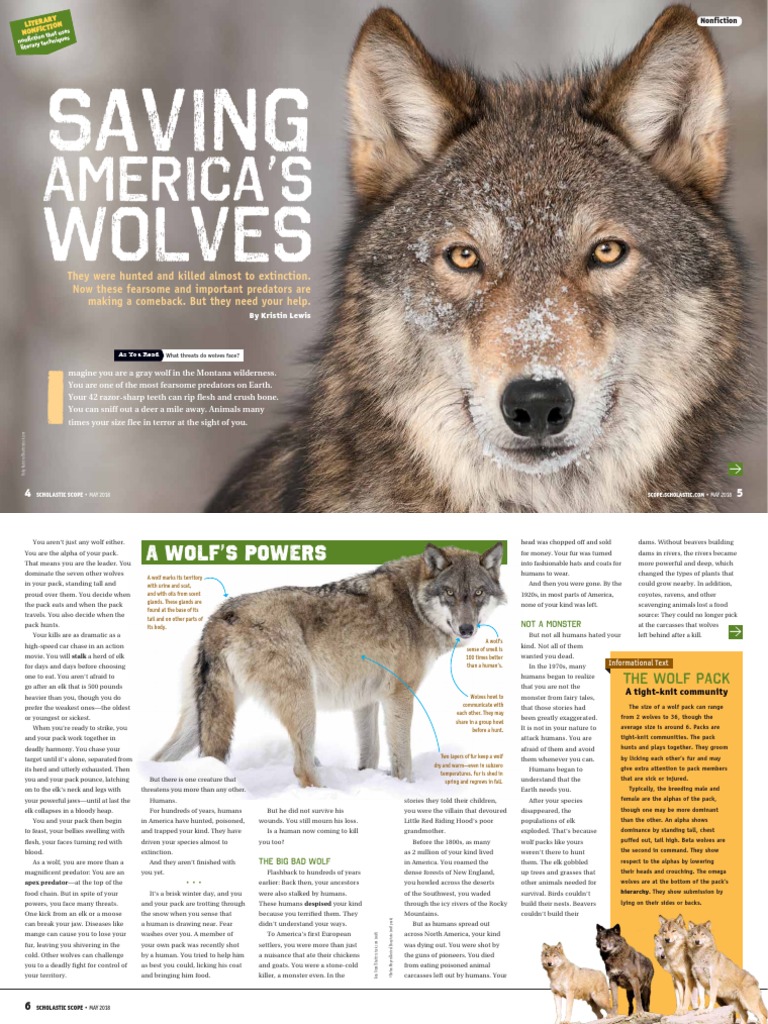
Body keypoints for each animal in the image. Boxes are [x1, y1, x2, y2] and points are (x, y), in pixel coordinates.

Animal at [153, 543, 504, 786]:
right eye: (449, 593)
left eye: (478, 593)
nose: (467, 629)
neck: (414, 605)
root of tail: (219, 618)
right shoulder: (399, 696)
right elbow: (402, 759)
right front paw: (406, 789)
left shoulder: (366, 701)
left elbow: (370, 754)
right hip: (303, 705)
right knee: (303, 769)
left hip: (202, 720)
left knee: (160, 757)